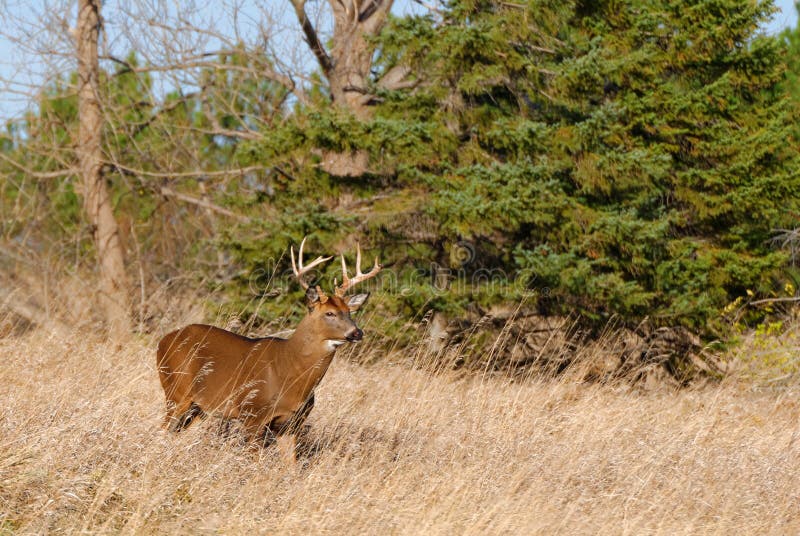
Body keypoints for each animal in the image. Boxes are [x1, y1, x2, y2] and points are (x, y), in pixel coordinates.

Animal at [156, 237, 382, 462]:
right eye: (330, 313)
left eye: (349, 311)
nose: (357, 333)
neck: (290, 371)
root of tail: (164, 340)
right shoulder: (252, 414)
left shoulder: (291, 424)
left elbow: (290, 464)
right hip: (176, 391)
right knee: (162, 430)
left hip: (198, 407)